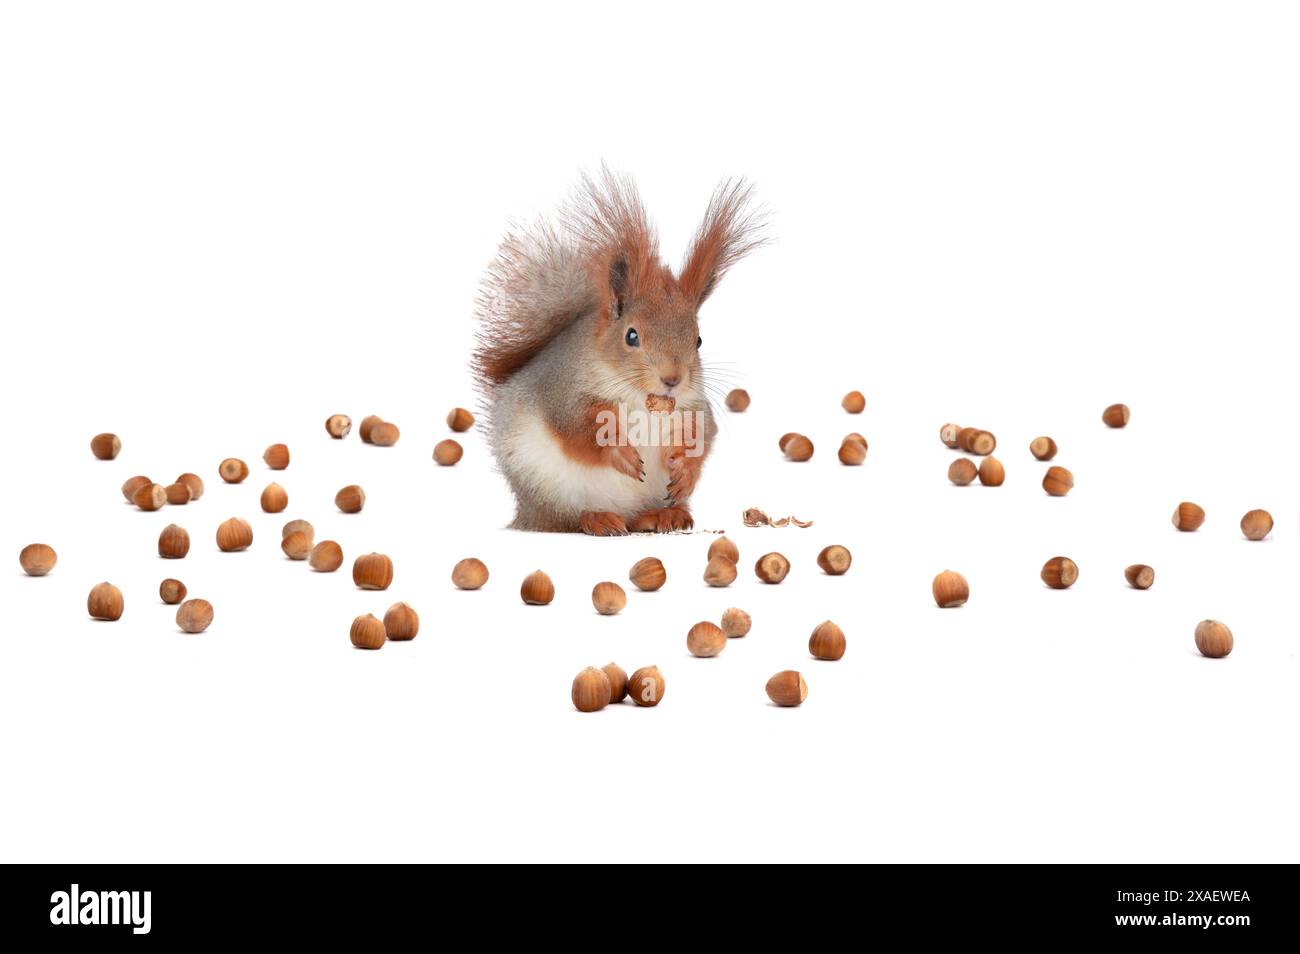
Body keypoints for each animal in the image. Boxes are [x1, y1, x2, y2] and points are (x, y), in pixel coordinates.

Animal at [472, 169, 766, 535]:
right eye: (631, 336)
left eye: (698, 340)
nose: (672, 379)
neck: (642, 399)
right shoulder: (563, 390)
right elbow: (578, 427)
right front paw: (619, 453)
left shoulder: (693, 407)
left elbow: (702, 433)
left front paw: (685, 470)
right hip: (544, 484)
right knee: (565, 519)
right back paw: (597, 518)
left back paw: (665, 515)